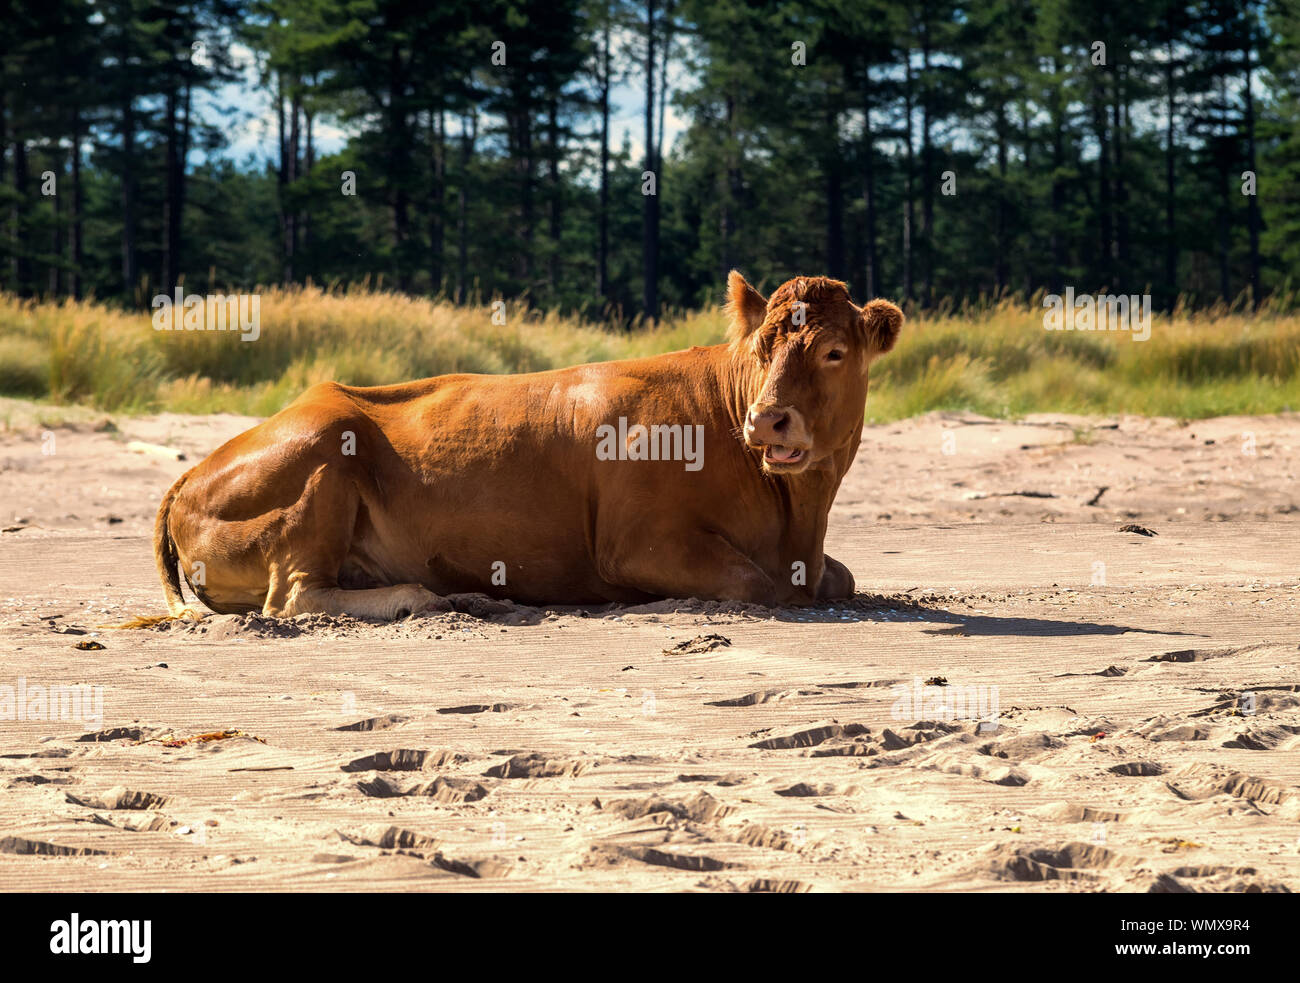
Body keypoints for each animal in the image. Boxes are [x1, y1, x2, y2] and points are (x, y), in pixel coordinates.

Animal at [139, 272, 902, 622]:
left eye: (834, 352)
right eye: (760, 348)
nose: (768, 420)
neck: (796, 516)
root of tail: (191, 474)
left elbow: (838, 576)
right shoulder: (638, 542)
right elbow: (756, 583)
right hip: (323, 452)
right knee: (296, 596)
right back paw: (430, 596)